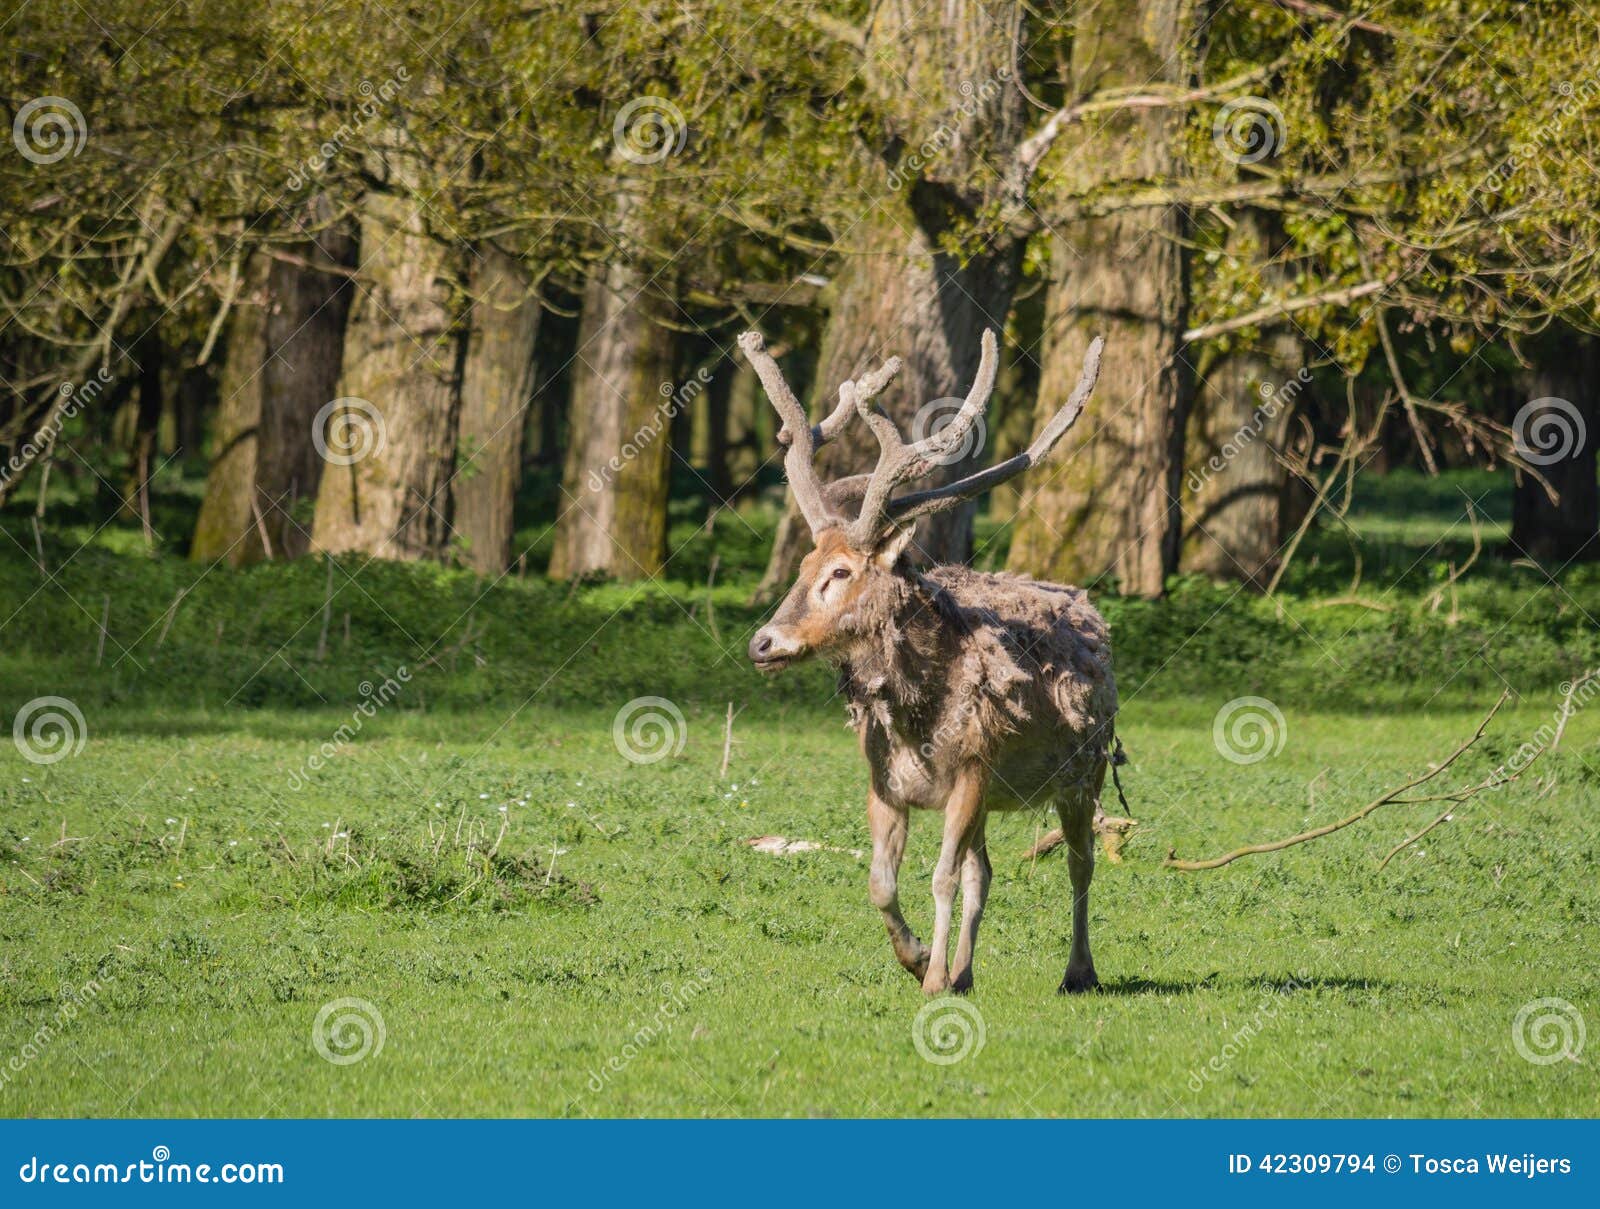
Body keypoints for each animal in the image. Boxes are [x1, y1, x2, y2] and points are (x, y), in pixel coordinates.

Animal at [740, 327, 1114, 996]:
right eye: (803, 567)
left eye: (841, 572)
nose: (764, 644)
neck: (918, 721)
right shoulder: (885, 782)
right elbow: (881, 881)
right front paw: (918, 960)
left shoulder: (971, 770)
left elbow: (939, 877)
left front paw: (931, 975)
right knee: (983, 871)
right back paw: (965, 970)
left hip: (1085, 770)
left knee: (1080, 863)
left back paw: (1078, 972)